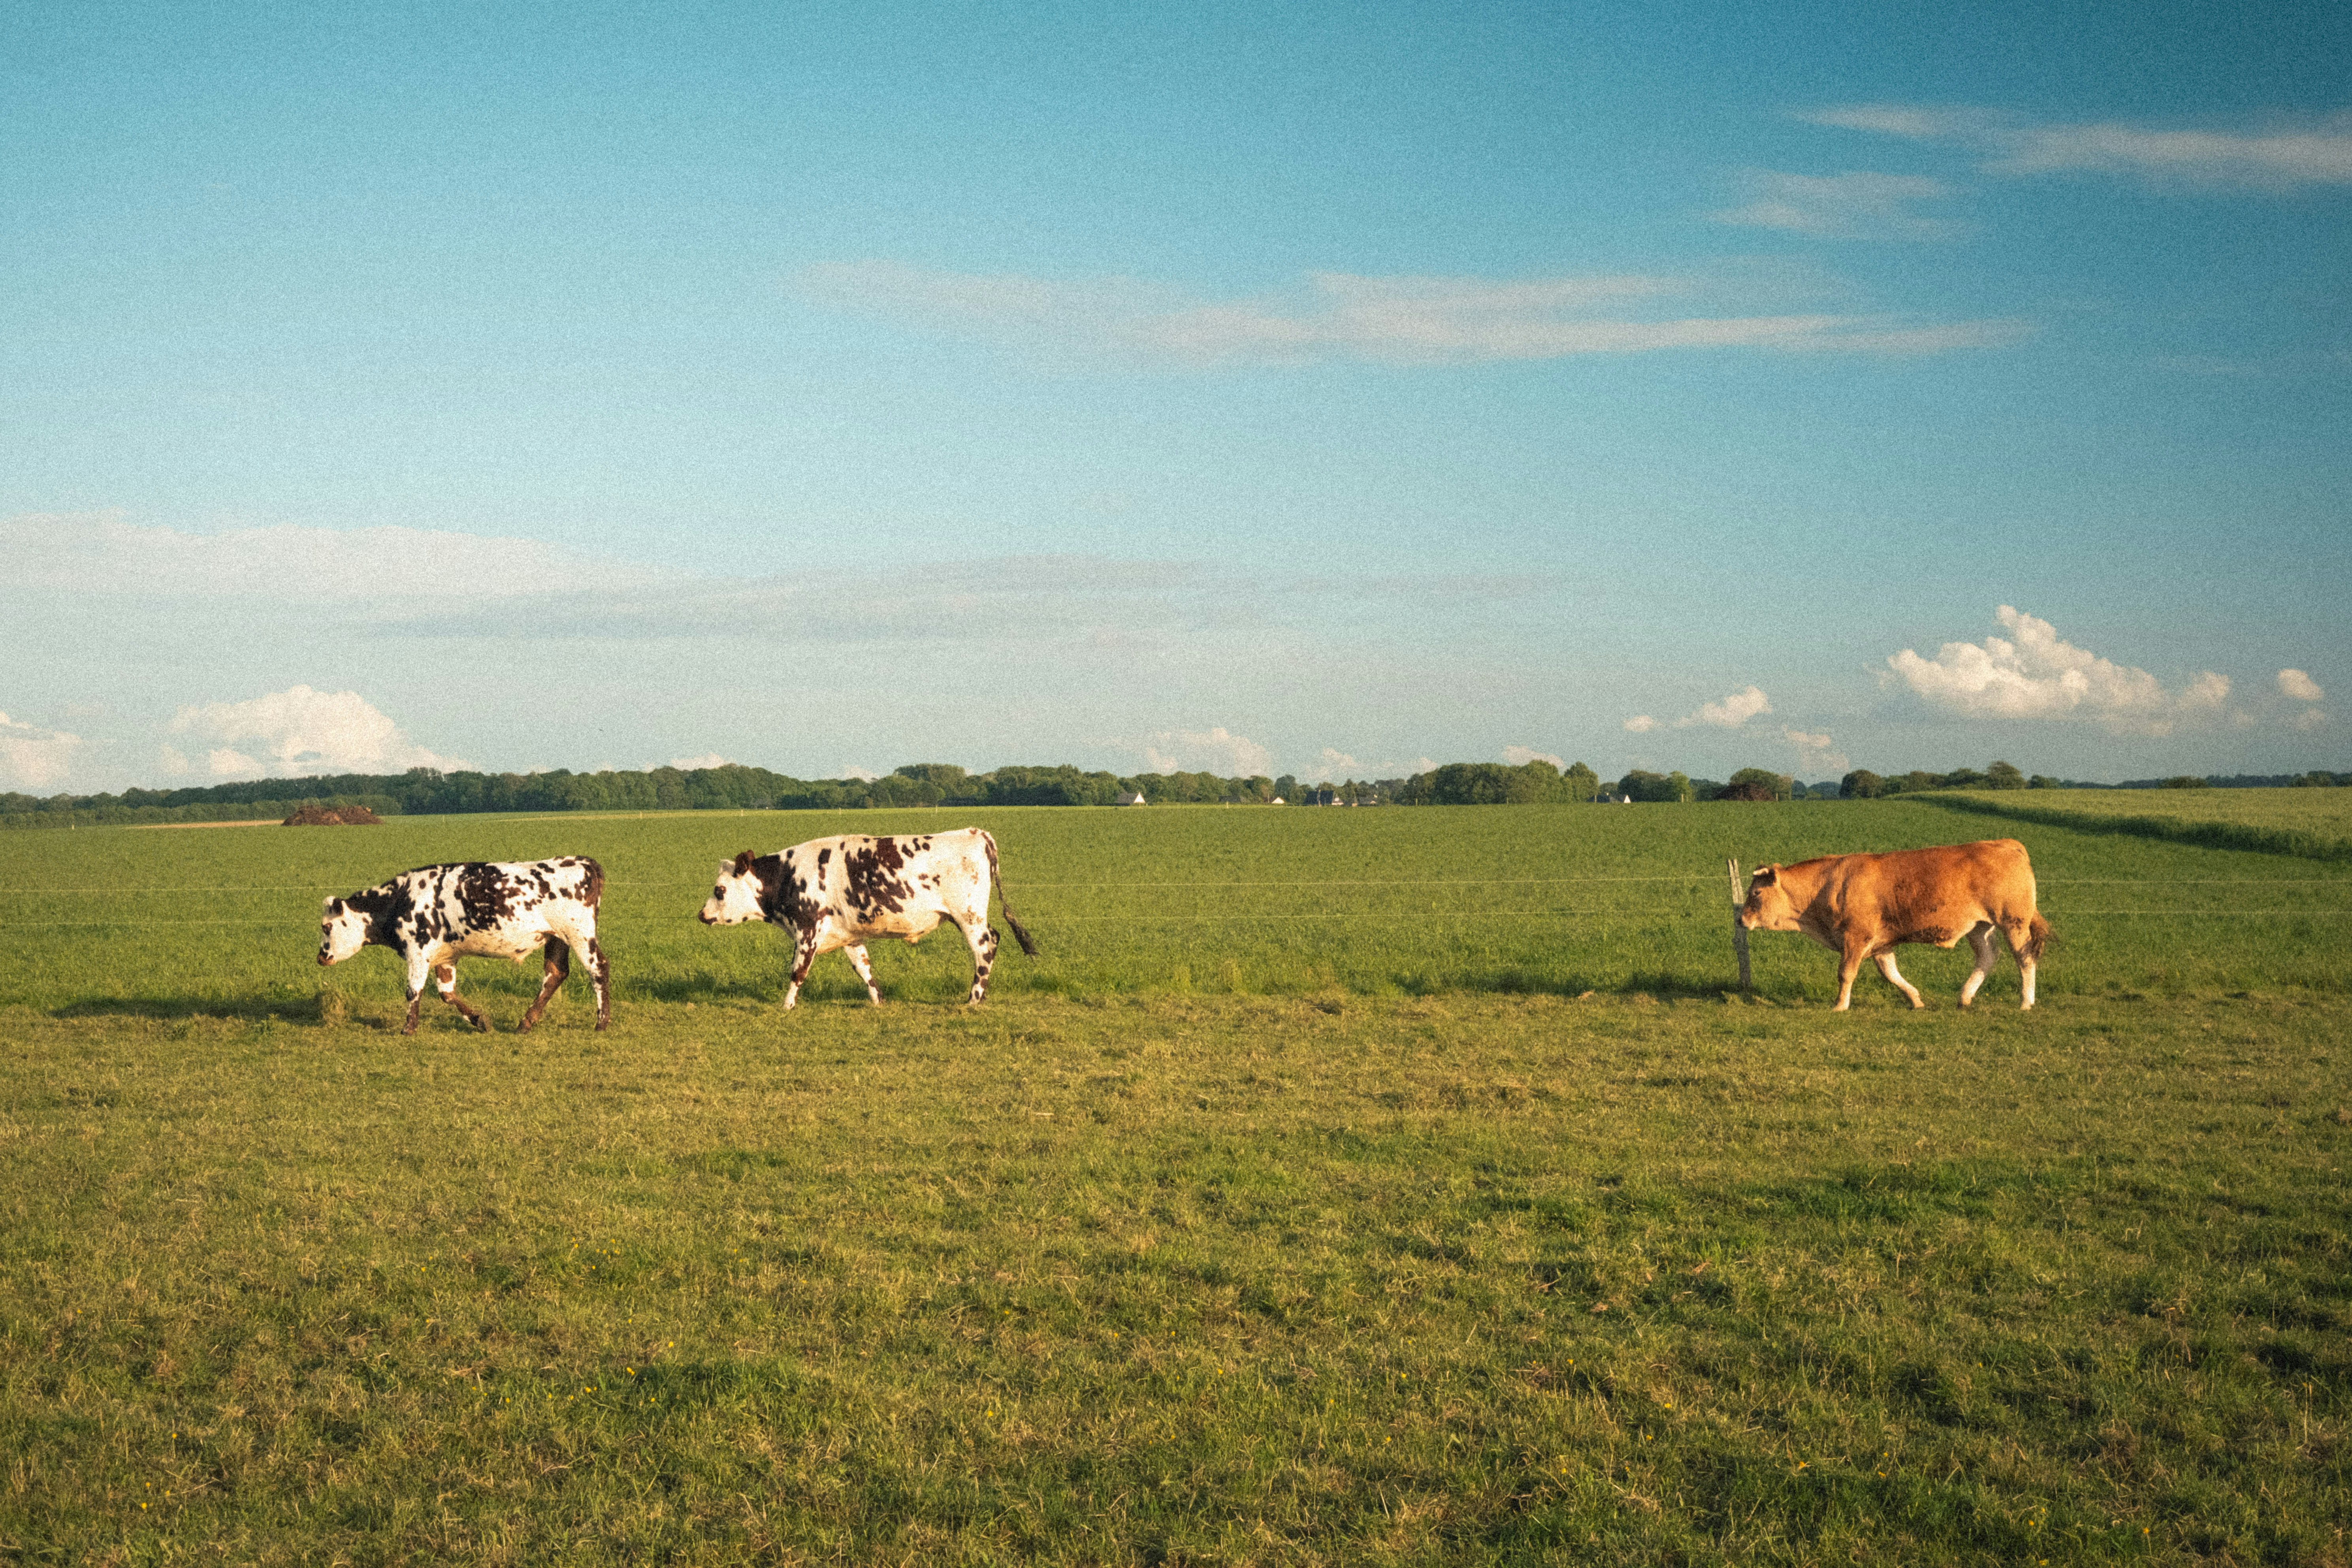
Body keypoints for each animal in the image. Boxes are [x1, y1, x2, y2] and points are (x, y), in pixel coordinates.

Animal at [318, 857, 611, 1034]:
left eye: (326, 927)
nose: (321, 957)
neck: (402, 898)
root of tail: (582, 861)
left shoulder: (418, 950)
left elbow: (413, 991)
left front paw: (408, 1028)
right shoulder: (444, 957)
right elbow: (447, 993)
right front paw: (480, 1021)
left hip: (580, 934)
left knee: (598, 968)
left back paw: (601, 1022)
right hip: (557, 938)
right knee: (555, 974)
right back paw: (525, 1023)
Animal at [697, 828, 1036, 1008]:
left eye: (719, 889)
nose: (701, 914)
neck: (788, 875)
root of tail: (974, 833)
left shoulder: (808, 929)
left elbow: (797, 971)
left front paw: (786, 1006)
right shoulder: (850, 935)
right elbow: (864, 968)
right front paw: (878, 1001)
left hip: (969, 916)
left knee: (985, 948)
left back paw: (973, 999)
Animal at [1737, 838, 2050, 1011]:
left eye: (1756, 893)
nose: (1741, 919)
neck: (1830, 884)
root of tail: (2006, 844)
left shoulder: (1856, 937)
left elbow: (1846, 974)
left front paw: (1840, 1005)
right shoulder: (1880, 944)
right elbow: (1891, 974)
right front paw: (1916, 1000)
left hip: (2013, 921)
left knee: (2024, 959)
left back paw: (2026, 1002)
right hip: (1979, 927)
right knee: (1987, 957)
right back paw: (1965, 998)